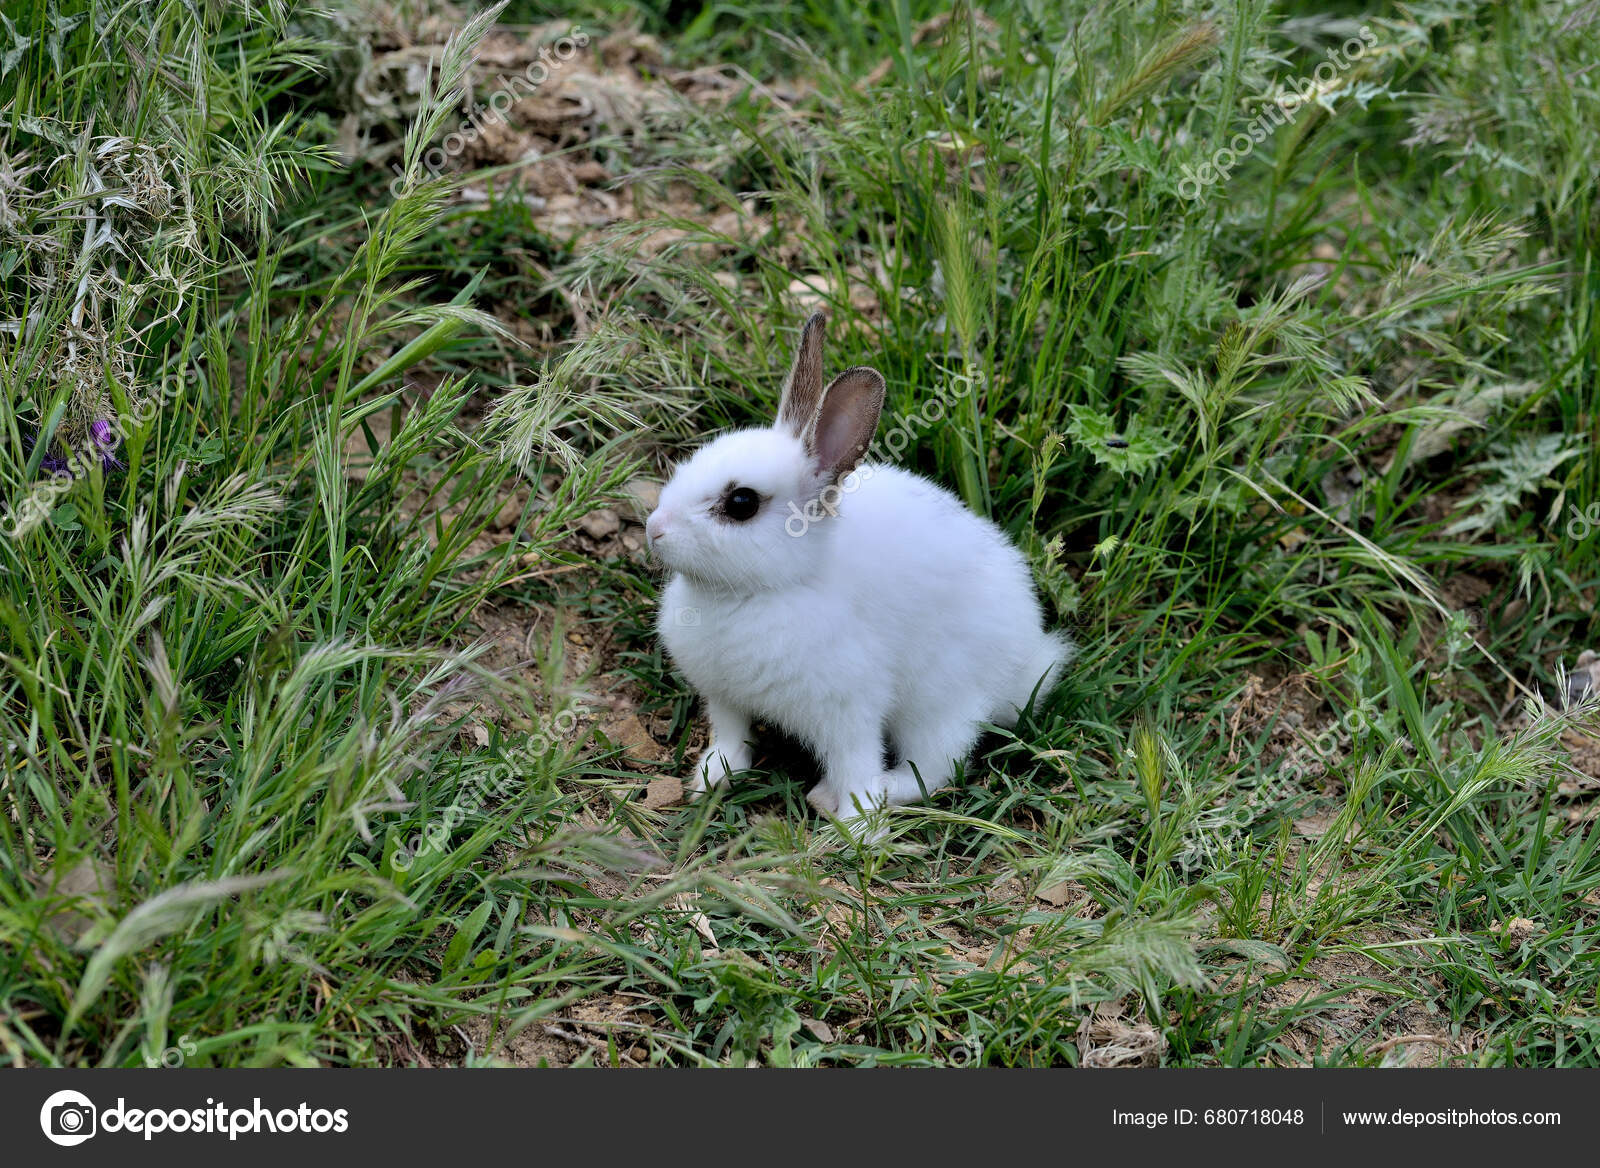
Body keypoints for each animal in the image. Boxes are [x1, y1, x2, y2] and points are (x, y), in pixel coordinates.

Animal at [647, 312, 1073, 832]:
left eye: (741, 503)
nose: (654, 529)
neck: (760, 591)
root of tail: (1030, 657)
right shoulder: (725, 698)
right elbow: (730, 739)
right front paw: (710, 779)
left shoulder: (849, 710)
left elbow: (856, 762)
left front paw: (858, 825)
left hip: (941, 705)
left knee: (937, 765)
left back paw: (867, 792)